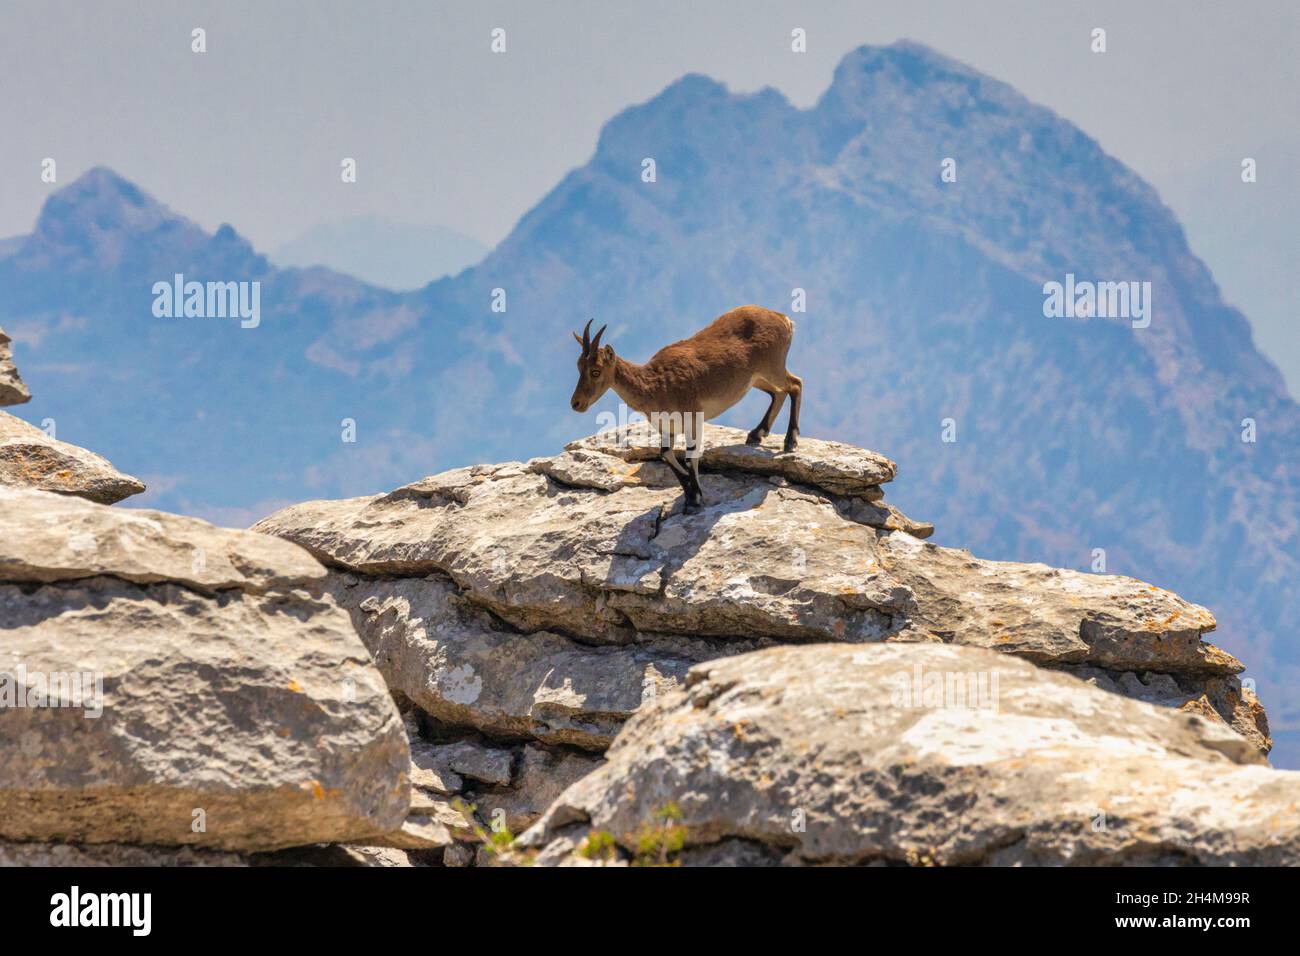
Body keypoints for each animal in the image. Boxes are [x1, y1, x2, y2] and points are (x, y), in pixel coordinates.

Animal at [570, 305, 803, 513]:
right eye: (578, 367)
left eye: (596, 371)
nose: (576, 404)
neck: (657, 385)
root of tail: (783, 318)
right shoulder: (667, 428)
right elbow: (665, 455)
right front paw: (689, 496)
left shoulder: (692, 420)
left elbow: (691, 457)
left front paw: (696, 499)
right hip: (755, 378)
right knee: (778, 393)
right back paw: (757, 434)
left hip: (772, 367)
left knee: (795, 384)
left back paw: (790, 441)